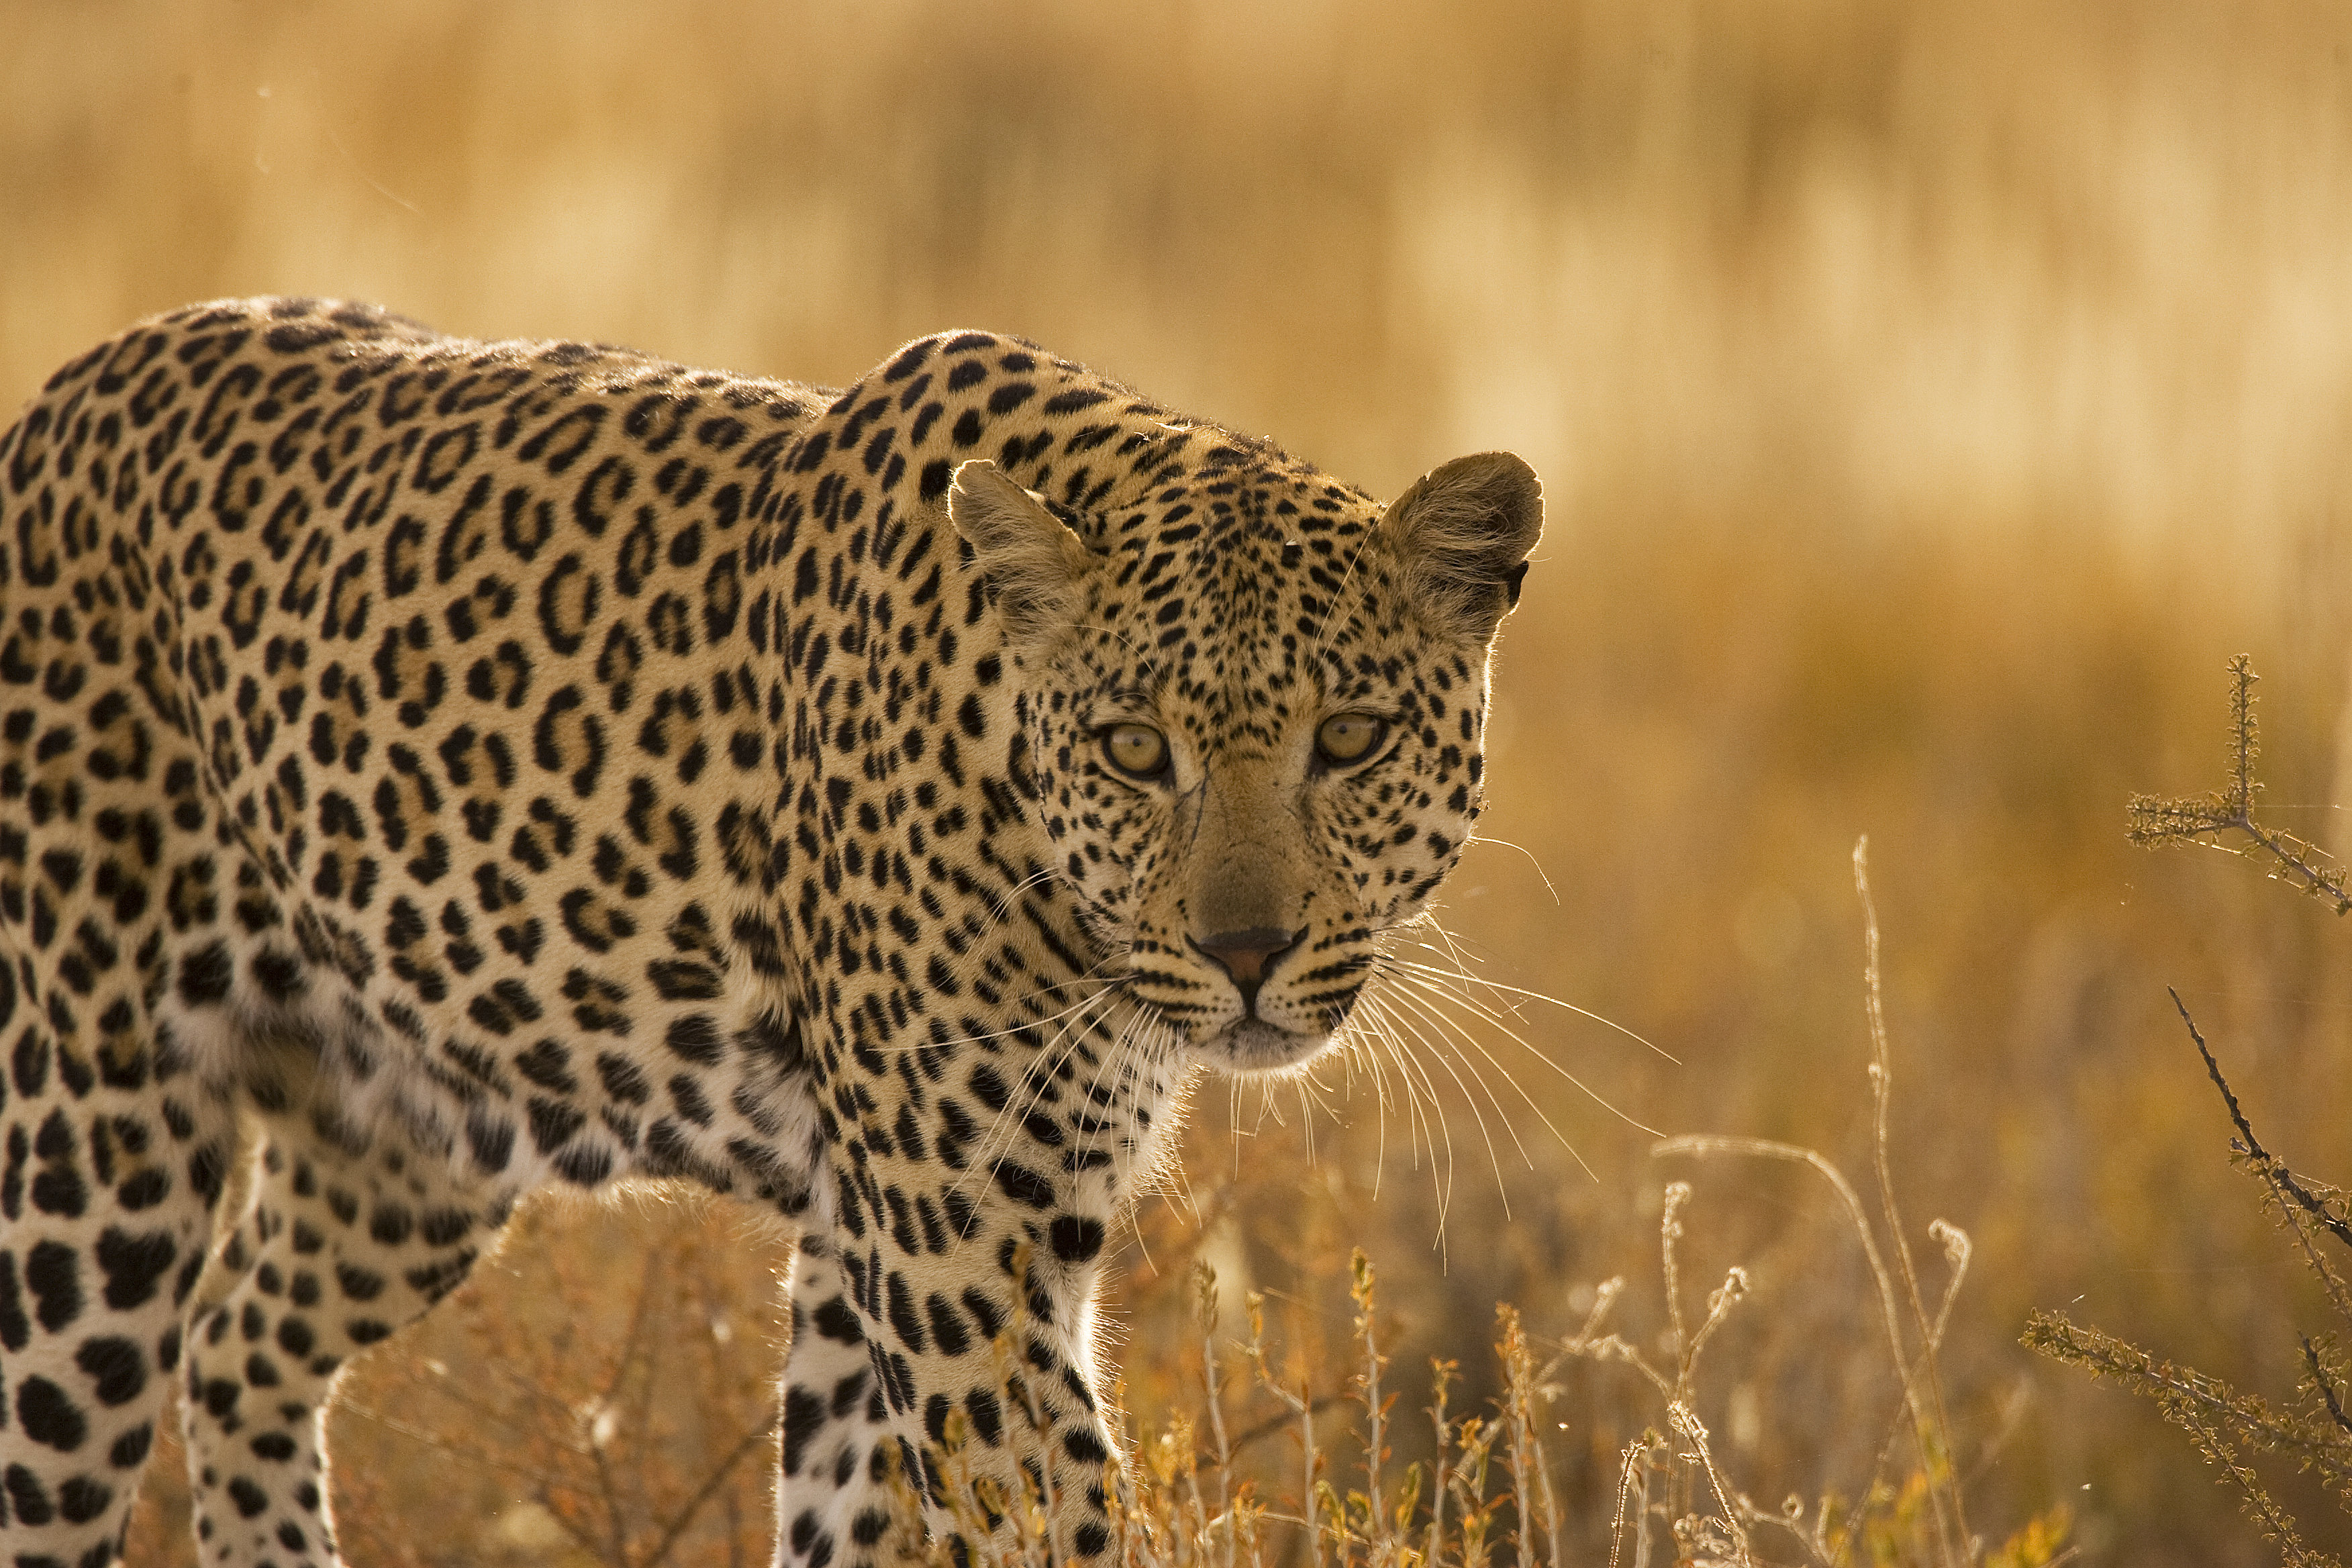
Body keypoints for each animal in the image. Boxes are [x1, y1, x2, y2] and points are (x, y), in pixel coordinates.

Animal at [0, 297, 1541, 1568]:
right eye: (1130, 749)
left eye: (1350, 739)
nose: (1245, 953)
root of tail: (59, 397)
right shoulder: (954, 1243)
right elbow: (1051, 1517)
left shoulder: (884, 1241)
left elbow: (851, 1511)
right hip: (90, 1163)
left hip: (401, 1139)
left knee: (238, 1349)